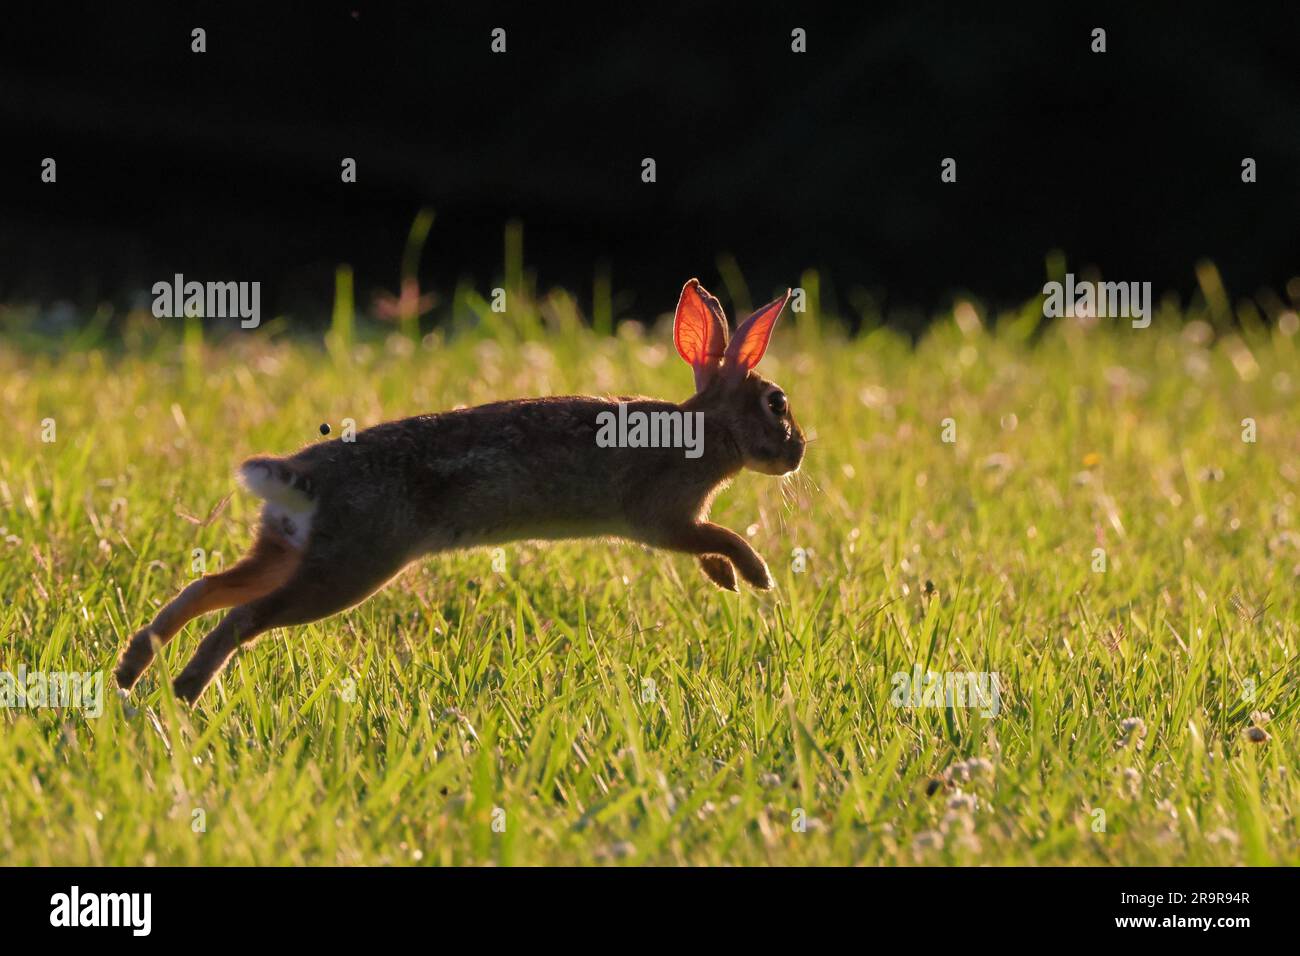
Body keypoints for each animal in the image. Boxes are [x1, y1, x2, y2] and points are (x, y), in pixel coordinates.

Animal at [115, 278, 806, 704]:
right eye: (776, 403)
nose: (798, 450)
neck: (709, 429)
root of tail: (299, 477)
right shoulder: (664, 519)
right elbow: (721, 535)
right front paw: (758, 576)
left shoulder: (674, 525)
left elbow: (709, 546)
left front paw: (725, 581)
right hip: (350, 566)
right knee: (243, 616)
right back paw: (183, 692)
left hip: (290, 551)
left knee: (207, 589)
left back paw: (131, 673)